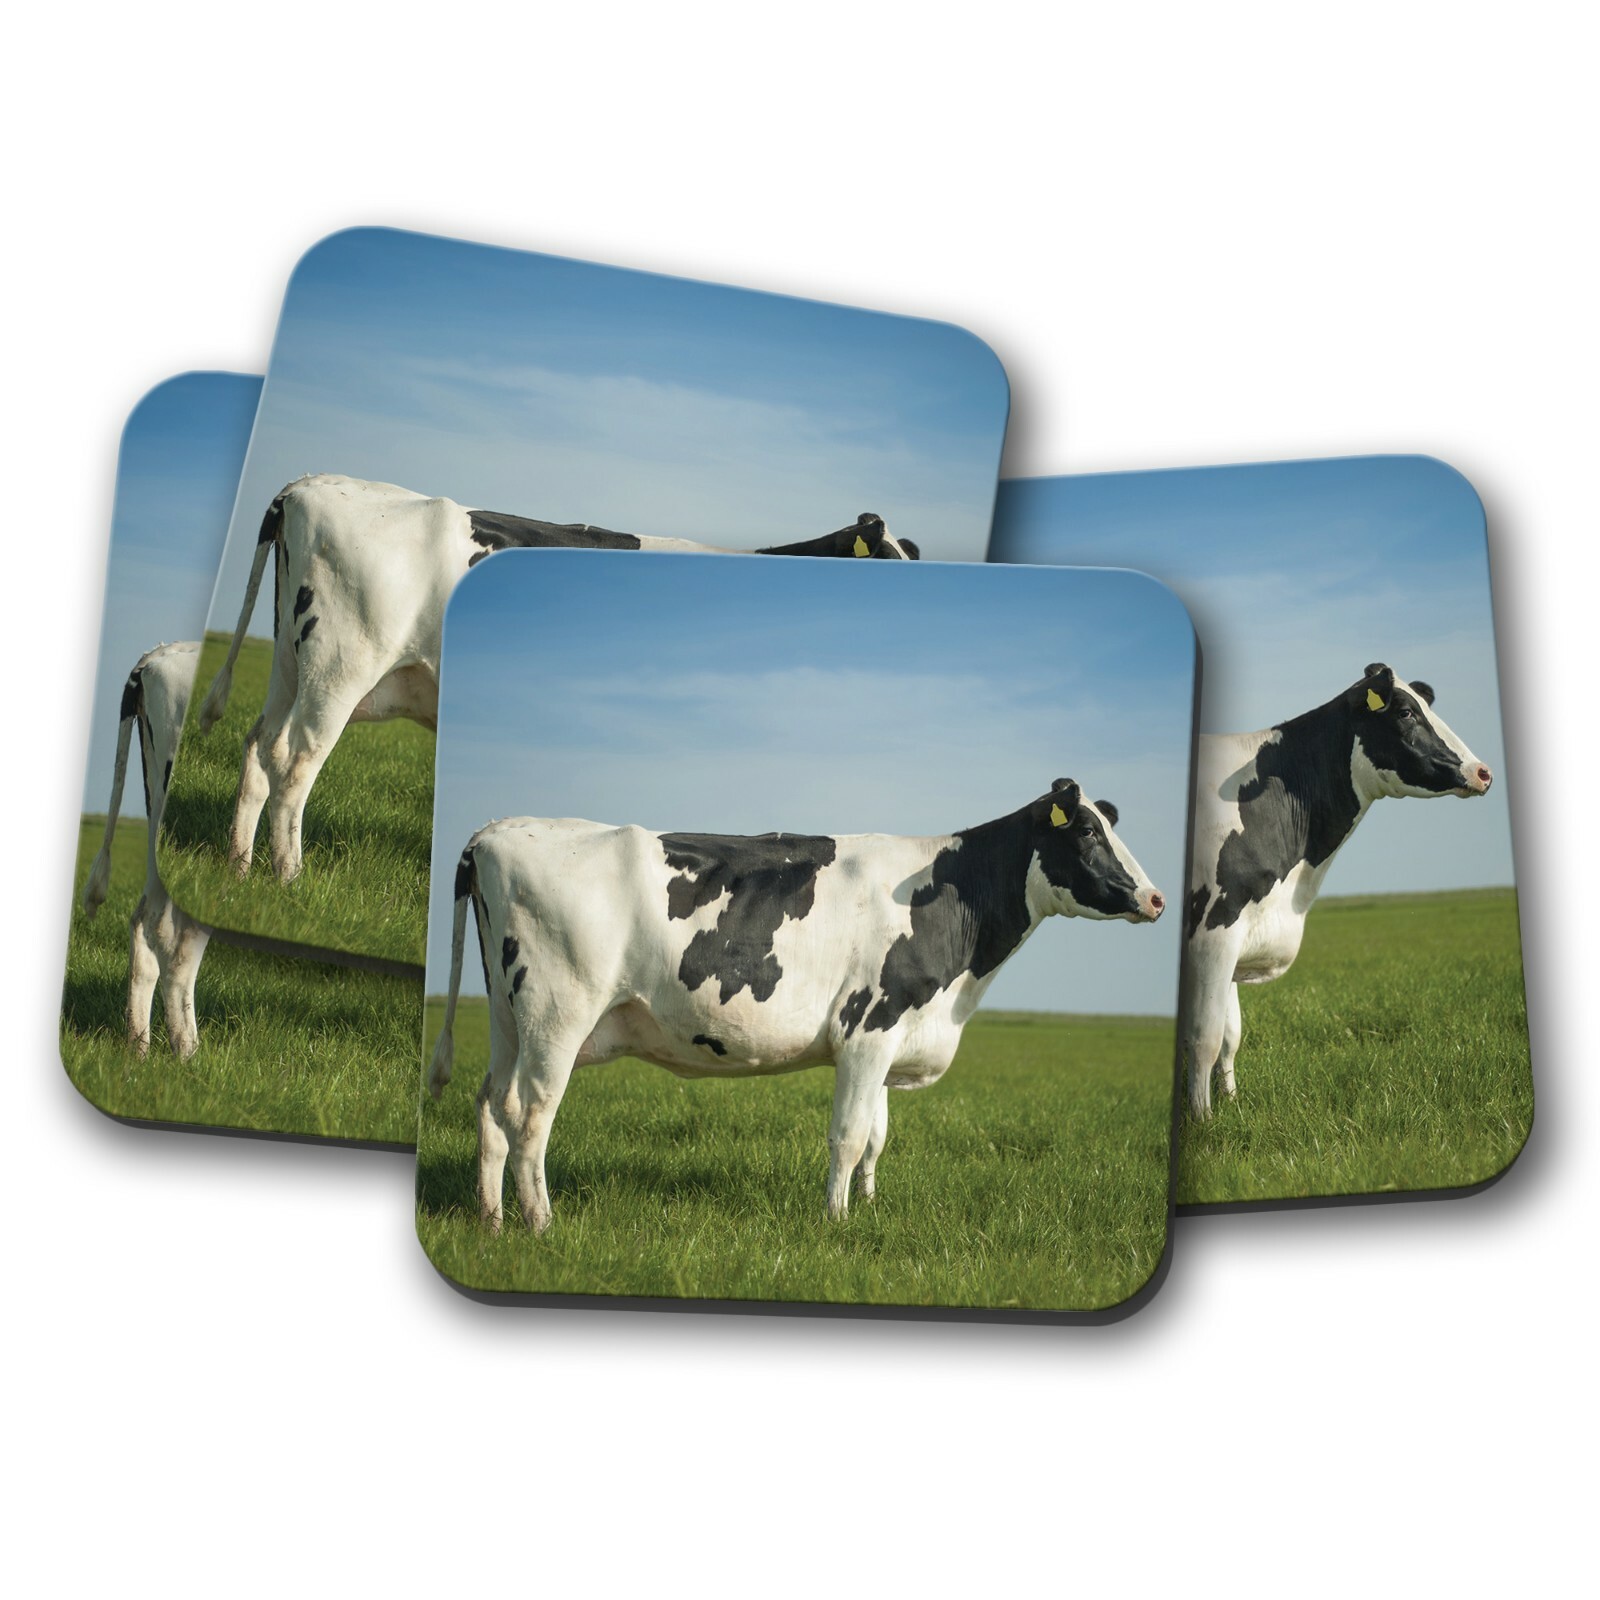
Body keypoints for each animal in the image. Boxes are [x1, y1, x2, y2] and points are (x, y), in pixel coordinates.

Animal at [196, 475, 921, 884]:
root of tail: (311, 485)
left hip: (289, 663)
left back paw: (237, 866)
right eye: (883, 562)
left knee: (258, 747)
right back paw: (288, 877)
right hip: (340, 664)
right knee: (296, 757)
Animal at [426, 780, 1166, 1232]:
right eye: (1087, 833)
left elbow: (877, 1136)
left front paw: (868, 1207)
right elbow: (848, 1135)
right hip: (558, 1013)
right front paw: (837, 1224)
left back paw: (492, 1219)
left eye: (1108, 826)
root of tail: (499, 828)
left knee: (490, 1105)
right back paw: (541, 1224)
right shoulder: (869, 1028)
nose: (1156, 897)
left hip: (508, 1017)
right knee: (531, 1113)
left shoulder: (891, 1035)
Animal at [1182, 663, 1493, 1119]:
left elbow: (1230, 1033)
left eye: (1426, 705)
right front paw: (1202, 1122)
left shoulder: (1239, 934)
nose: (1483, 771)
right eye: (1405, 712)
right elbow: (1203, 1036)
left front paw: (1231, 1104)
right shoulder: (1214, 929)